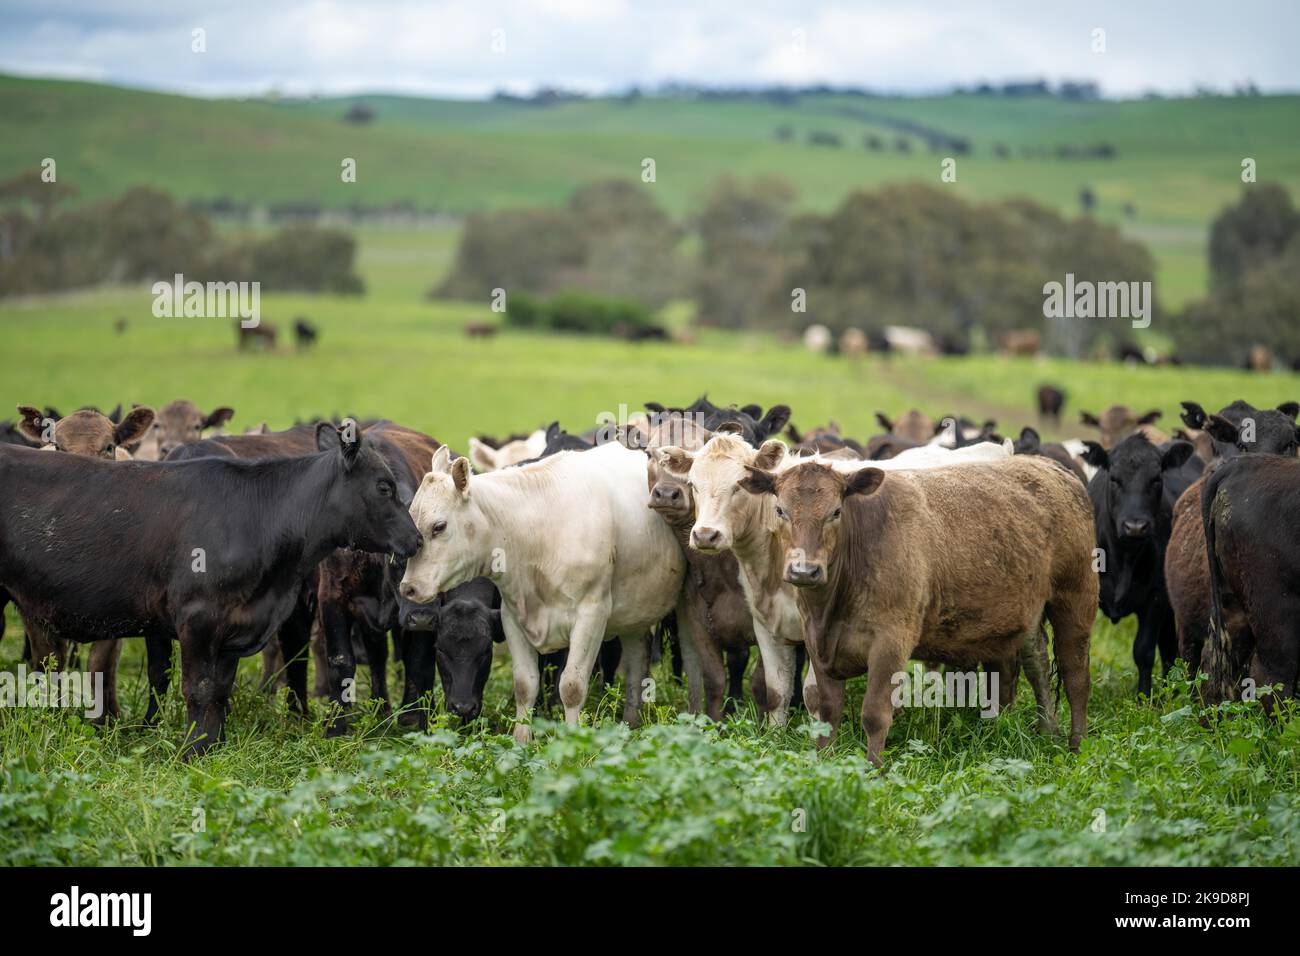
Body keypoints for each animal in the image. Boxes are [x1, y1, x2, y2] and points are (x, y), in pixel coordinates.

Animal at [0, 425, 420, 755]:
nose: (416, 539)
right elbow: (198, 689)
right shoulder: (197, 618)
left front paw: (212, 747)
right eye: (384, 487)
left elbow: (219, 691)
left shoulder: (235, 627)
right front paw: (191, 751)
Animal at [400, 441, 685, 742]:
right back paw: (630, 721)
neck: (536, 536)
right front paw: (520, 741)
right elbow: (524, 685)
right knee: (636, 661)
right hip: (635, 614)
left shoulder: (592, 614)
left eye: (439, 526)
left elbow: (571, 686)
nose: (409, 587)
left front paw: (573, 739)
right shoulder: (511, 617)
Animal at [738, 454, 1096, 765]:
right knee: (1038, 664)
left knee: (1076, 676)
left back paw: (1076, 747)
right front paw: (824, 762)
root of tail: (1048, 465)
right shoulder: (817, 643)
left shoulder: (891, 642)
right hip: (1029, 612)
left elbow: (875, 714)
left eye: (836, 511)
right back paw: (1048, 731)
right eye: (780, 510)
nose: (804, 571)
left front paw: (873, 770)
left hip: (1076, 597)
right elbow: (827, 710)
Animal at [1082, 434, 1200, 696]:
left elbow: (1144, 651)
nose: (1135, 526)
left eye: (1156, 479)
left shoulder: (1157, 597)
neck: (1124, 558)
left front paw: (1144, 698)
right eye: (1114, 479)